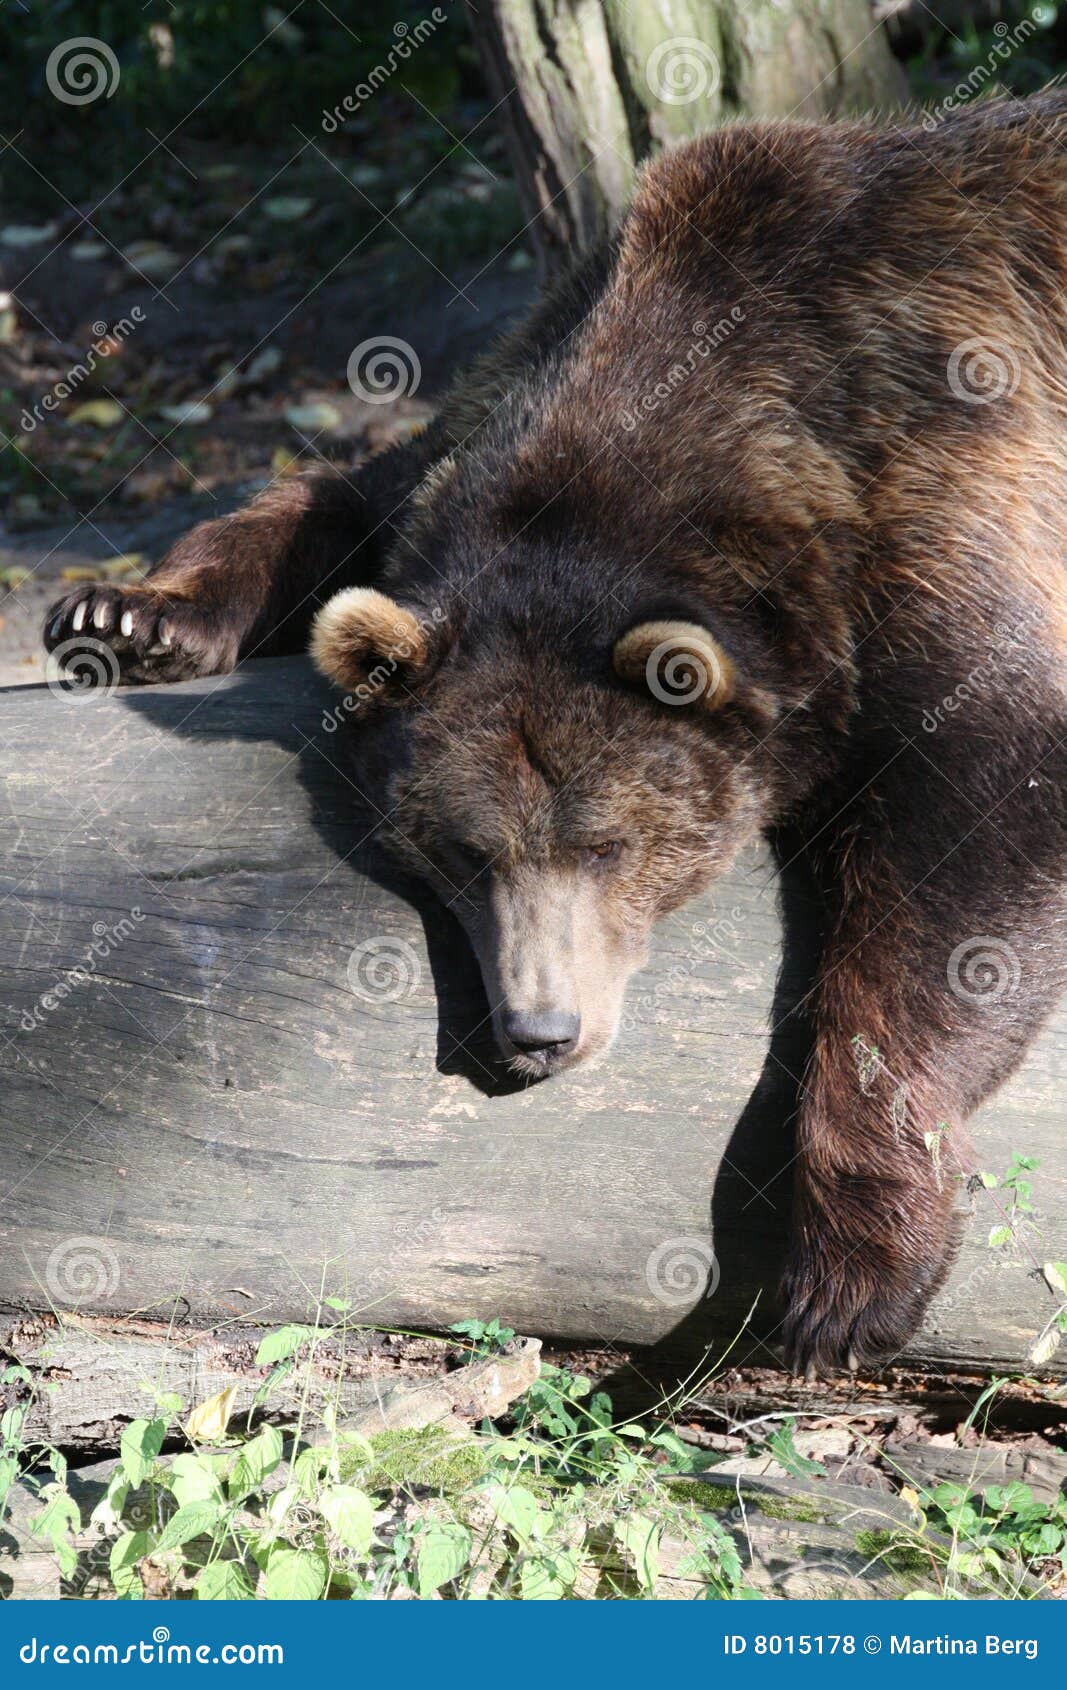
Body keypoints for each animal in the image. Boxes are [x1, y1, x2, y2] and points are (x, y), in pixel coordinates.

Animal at [44, 92, 1067, 1373]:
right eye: (461, 850)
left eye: (609, 845)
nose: (537, 1029)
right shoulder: (492, 426)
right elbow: (343, 494)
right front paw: (126, 613)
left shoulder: (939, 474)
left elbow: (970, 837)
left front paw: (841, 1280)